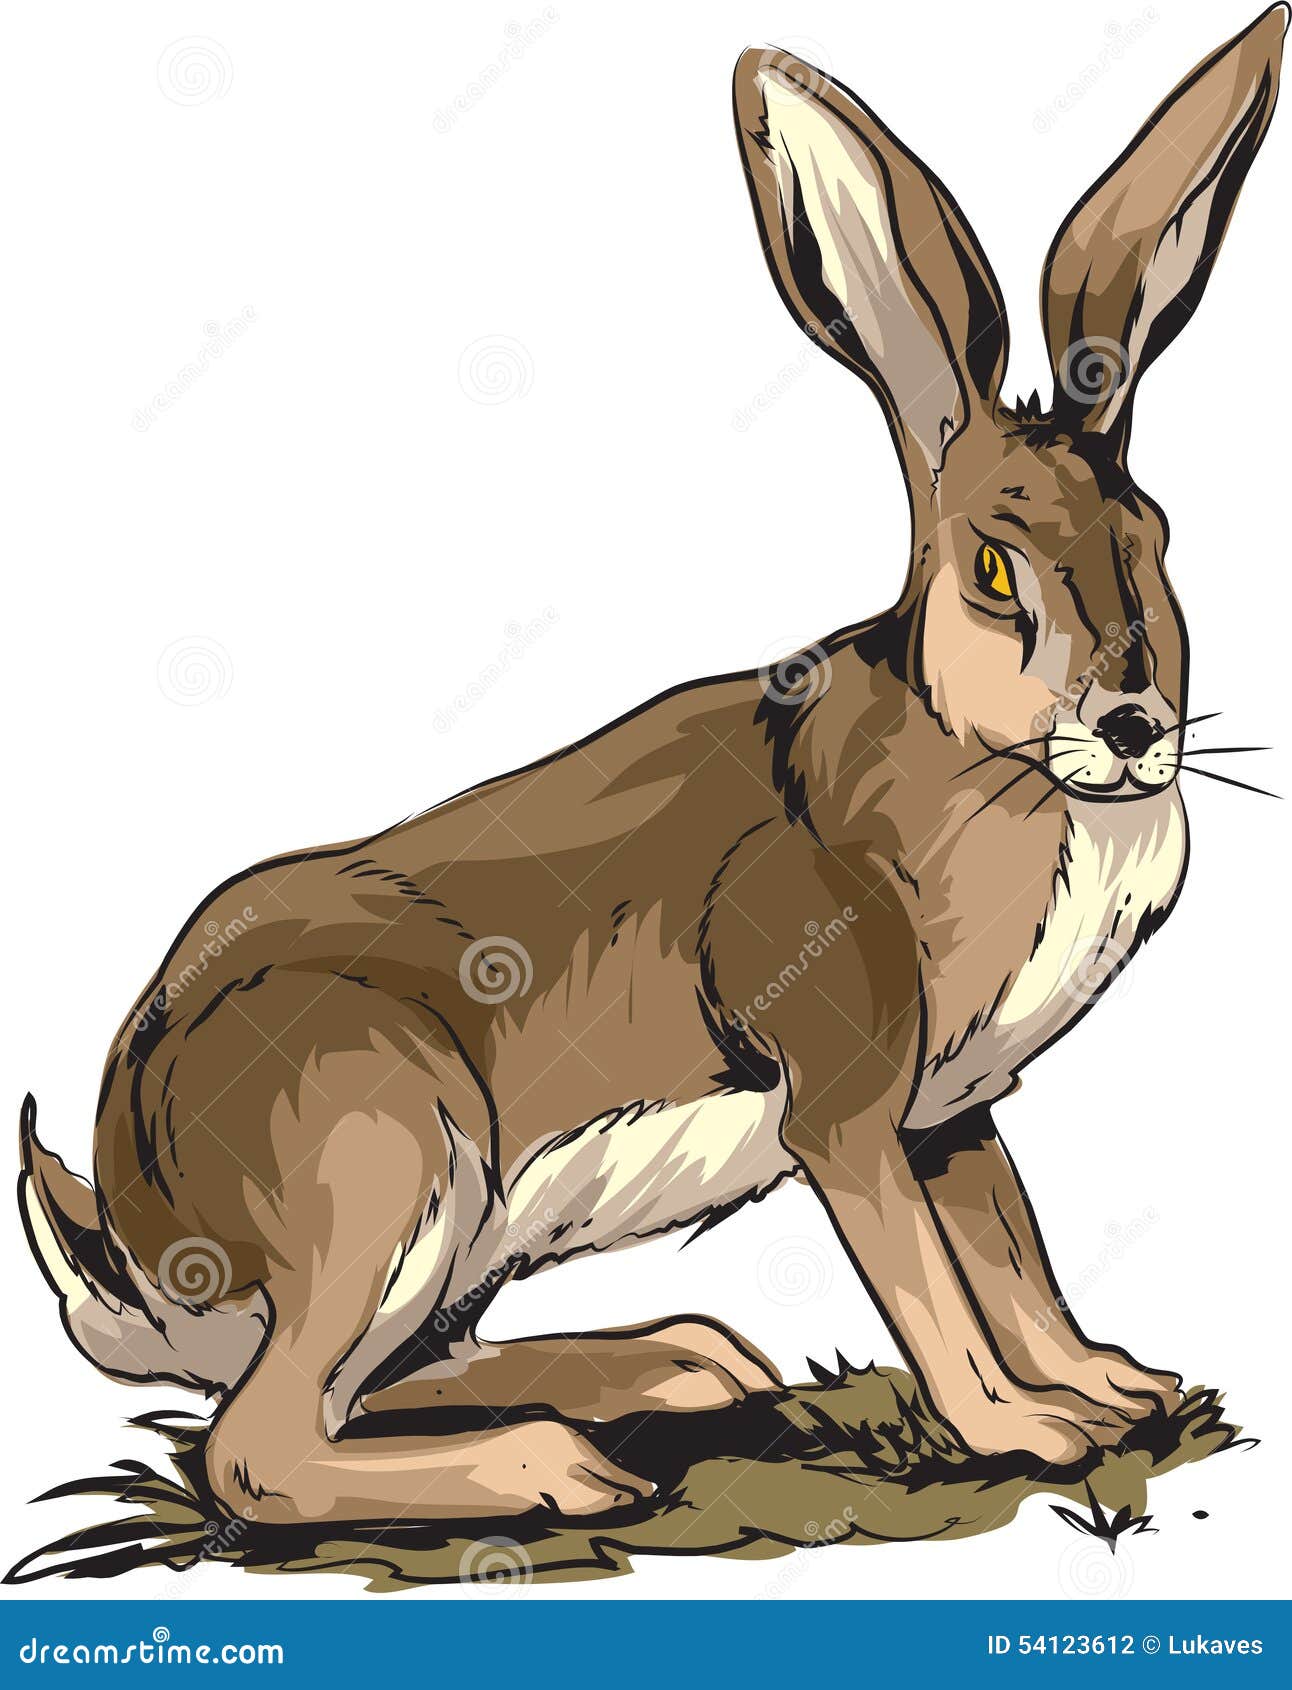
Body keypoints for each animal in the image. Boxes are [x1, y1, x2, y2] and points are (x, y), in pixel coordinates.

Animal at [20, 7, 1285, 1527]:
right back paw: (560, 1468)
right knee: (257, 1445)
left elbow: (1012, 1254)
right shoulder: (850, 1106)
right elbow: (931, 1285)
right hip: (384, 1150)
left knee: (370, 1382)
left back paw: (682, 1365)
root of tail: (137, 1219)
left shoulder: (957, 1113)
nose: (1134, 722)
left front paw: (1111, 1388)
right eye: (993, 568)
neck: (987, 761)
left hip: (437, 1242)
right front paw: (1025, 1430)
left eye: (1155, 538)